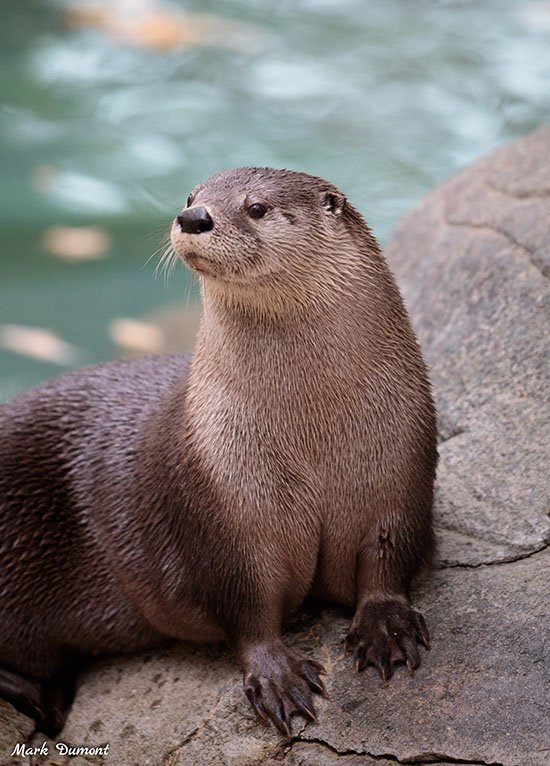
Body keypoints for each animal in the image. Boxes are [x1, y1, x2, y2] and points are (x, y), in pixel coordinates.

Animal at [0, 167, 437, 737]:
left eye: (256, 207)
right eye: (191, 195)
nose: (193, 217)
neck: (313, 439)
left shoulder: (401, 474)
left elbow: (388, 560)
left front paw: (386, 628)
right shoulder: (221, 509)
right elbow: (246, 608)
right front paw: (277, 677)